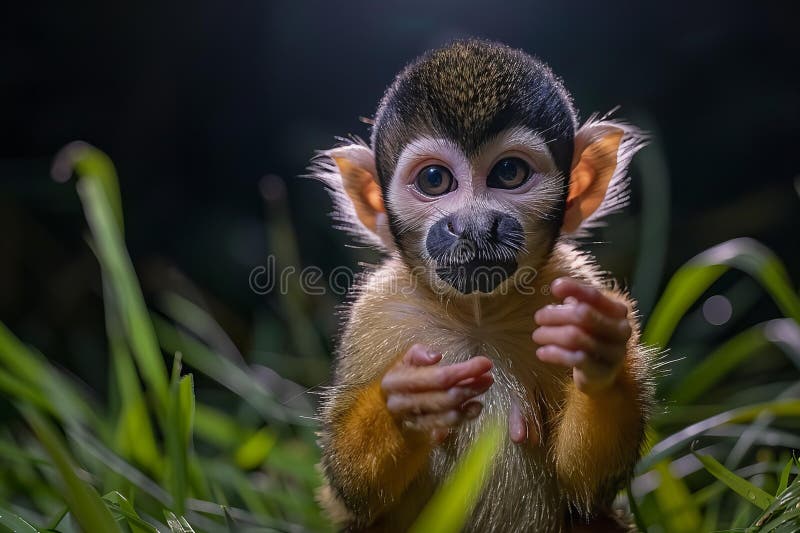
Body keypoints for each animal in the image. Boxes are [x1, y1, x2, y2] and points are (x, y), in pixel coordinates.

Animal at [310, 39, 655, 532]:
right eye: (434, 180)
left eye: (509, 173)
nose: (474, 226)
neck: (476, 314)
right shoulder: (377, 309)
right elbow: (350, 489)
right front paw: (406, 405)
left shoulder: (573, 280)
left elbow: (586, 485)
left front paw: (597, 352)